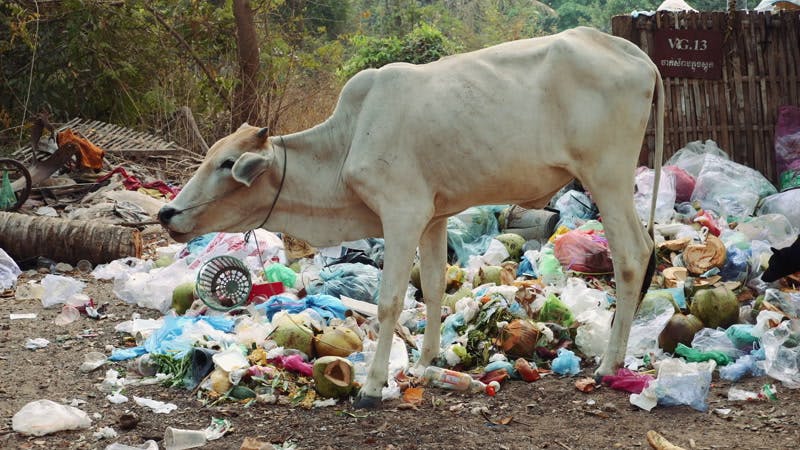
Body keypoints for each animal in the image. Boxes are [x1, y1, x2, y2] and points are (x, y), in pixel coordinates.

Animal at [159, 26, 664, 408]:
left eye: (227, 164)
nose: (167, 212)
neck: (347, 142)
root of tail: (634, 54)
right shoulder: (434, 217)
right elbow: (436, 287)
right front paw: (426, 363)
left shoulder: (402, 214)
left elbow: (391, 302)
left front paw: (371, 385)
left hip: (607, 176)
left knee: (632, 257)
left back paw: (609, 365)